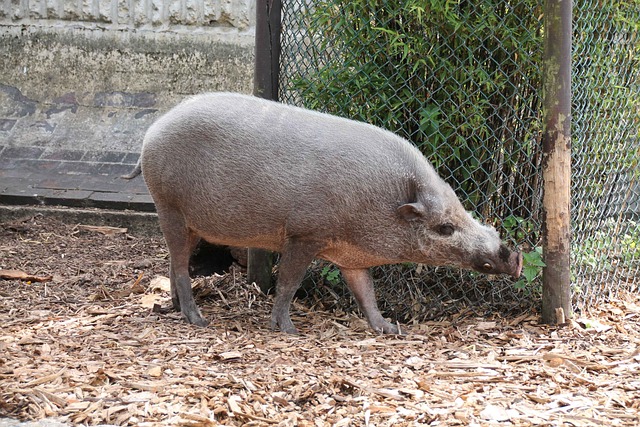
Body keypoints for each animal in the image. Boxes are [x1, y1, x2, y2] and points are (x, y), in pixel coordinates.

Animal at [126, 92, 522, 334]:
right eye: (444, 227)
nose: (515, 258)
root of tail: (151, 132)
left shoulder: (351, 256)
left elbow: (365, 292)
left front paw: (390, 329)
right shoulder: (304, 233)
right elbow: (289, 283)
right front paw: (289, 330)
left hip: (185, 219)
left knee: (173, 263)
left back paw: (171, 310)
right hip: (169, 205)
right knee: (179, 266)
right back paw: (199, 321)